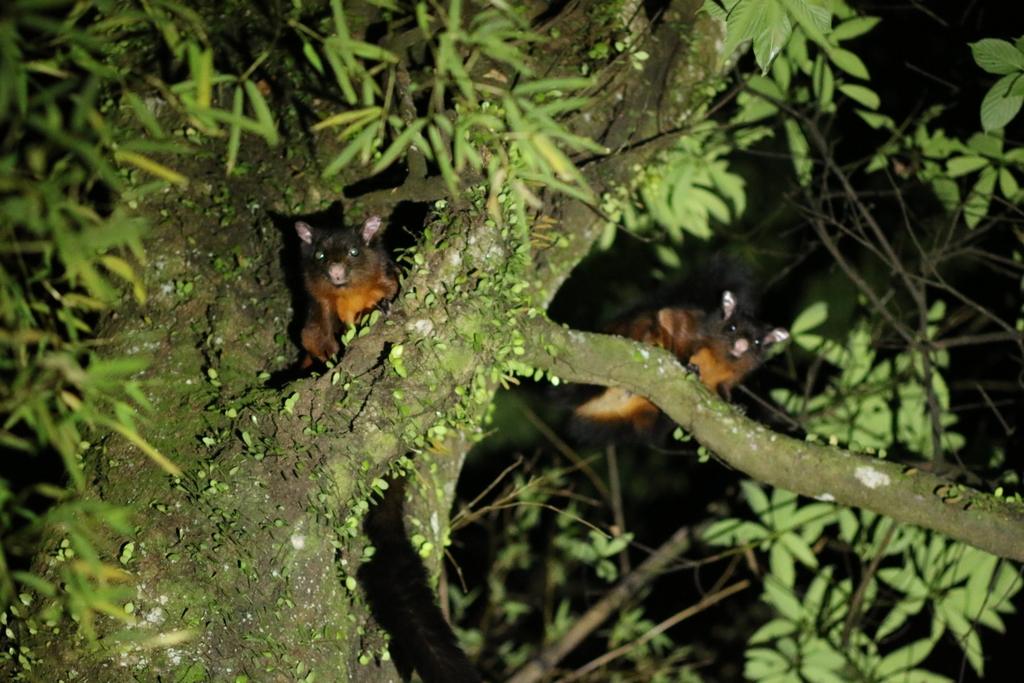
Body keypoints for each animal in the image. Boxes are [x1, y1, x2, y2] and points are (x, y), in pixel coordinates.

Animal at [295, 216, 400, 367]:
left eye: (354, 252)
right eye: (319, 255)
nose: (335, 270)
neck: (349, 290)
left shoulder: (385, 272)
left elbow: (394, 288)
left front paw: (385, 306)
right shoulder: (320, 300)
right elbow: (313, 336)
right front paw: (335, 355)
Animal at [565, 260, 789, 444]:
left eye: (757, 342)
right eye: (732, 327)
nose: (742, 345)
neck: (719, 359)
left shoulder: (737, 374)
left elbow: (724, 388)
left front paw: (736, 406)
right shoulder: (691, 325)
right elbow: (669, 319)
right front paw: (686, 364)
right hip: (632, 327)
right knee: (650, 322)